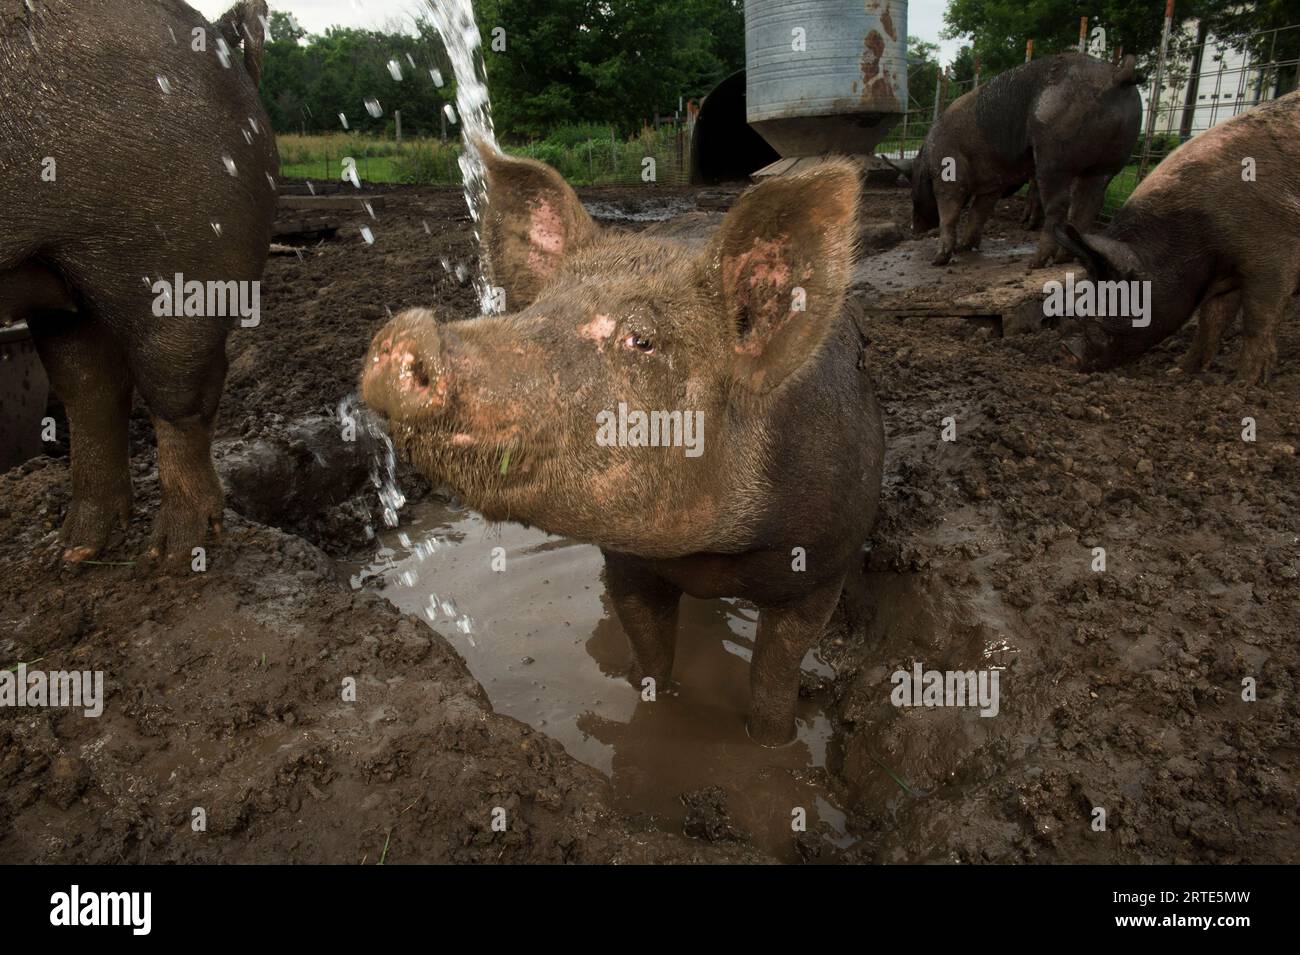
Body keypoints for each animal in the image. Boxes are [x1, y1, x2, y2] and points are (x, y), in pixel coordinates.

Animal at [0, 0, 277, 564]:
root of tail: (214, 30)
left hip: (177, 249)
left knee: (177, 391)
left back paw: (171, 555)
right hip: (66, 280)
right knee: (90, 385)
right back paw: (74, 551)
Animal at [361, 147, 885, 746]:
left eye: (643, 340)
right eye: (537, 308)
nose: (409, 331)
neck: (711, 554)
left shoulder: (823, 566)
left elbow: (776, 672)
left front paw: (774, 741)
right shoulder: (628, 563)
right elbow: (650, 649)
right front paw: (645, 697)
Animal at [912, 53, 1140, 267]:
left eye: (913, 190)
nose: (914, 230)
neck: (928, 159)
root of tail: (1116, 75)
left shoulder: (949, 175)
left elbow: (950, 213)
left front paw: (938, 260)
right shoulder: (992, 184)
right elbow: (978, 213)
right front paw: (964, 248)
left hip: (1054, 157)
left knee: (1059, 204)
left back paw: (1036, 262)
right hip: (1109, 162)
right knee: (1089, 203)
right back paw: (1063, 259)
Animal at [1053, 89, 1300, 386]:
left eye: (1110, 299)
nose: (1065, 351)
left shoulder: (1274, 251)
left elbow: (1258, 320)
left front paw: (1242, 385)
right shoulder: (1226, 278)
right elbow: (1210, 324)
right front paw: (1180, 372)